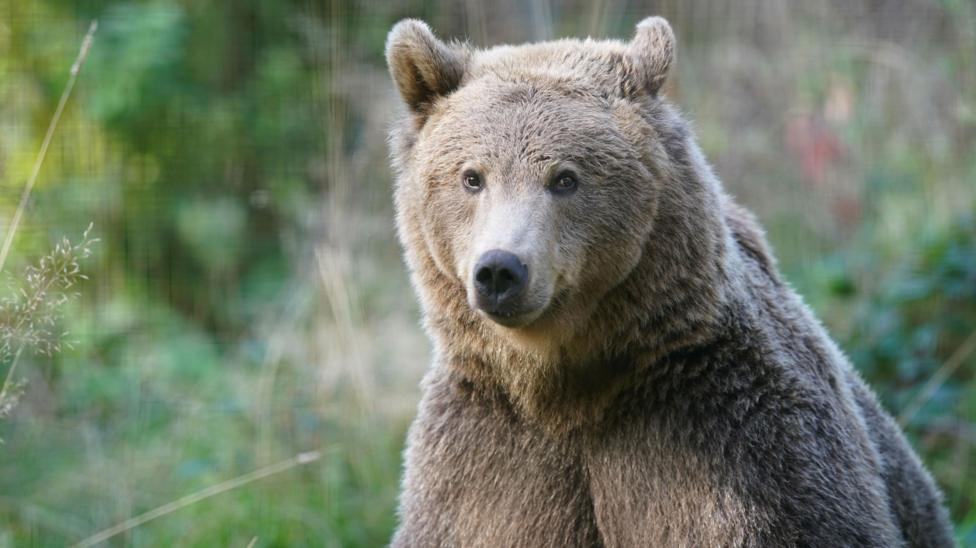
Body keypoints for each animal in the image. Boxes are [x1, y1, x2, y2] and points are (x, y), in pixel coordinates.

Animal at [384, 16, 955, 547]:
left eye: (565, 178)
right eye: (471, 177)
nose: (501, 270)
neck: (563, 389)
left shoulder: (724, 439)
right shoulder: (487, 457)